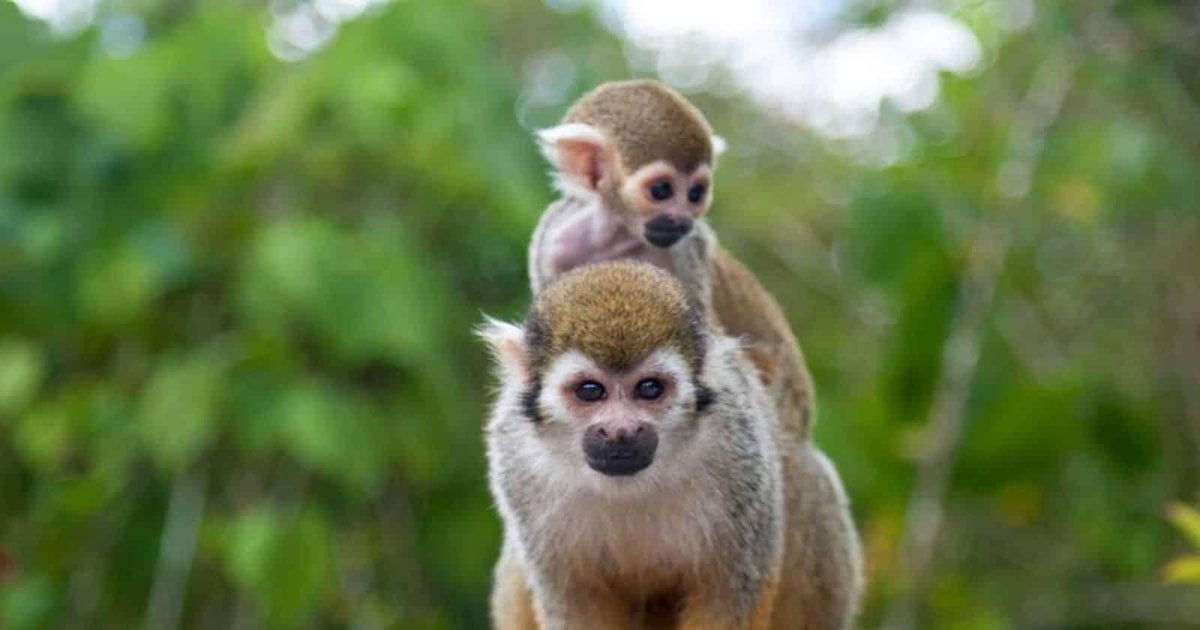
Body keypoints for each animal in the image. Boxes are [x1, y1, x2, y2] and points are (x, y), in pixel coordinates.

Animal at [479, 261, 862, 630]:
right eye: (590, 391)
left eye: (649, 388)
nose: (620, 431)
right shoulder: (517, 462)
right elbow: (574, 603)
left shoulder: (741, 454)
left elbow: (730, 596)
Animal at [527, 79, 815, 442]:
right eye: (662, 190)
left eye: (695, 194)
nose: (682, 220)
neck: (619, 234)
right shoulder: (553, 240)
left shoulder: (687, 251)